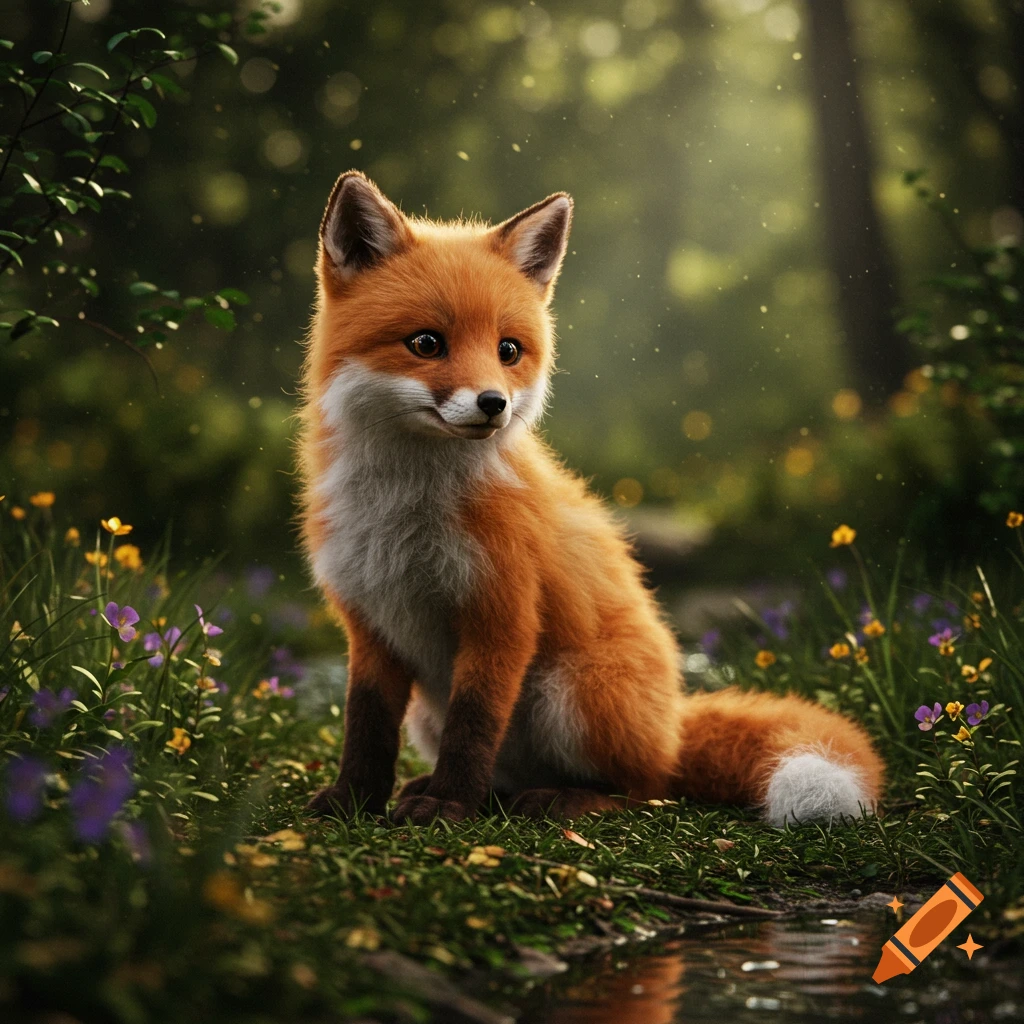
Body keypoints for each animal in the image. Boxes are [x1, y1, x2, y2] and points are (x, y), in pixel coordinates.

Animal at [298, 170, 884, 827]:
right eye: (426, 343)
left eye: (508, 350)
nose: (494, 404)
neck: (404, 511)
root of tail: (673, 724)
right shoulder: (369, 623)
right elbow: (366, 728)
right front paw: (354, 801)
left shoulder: (503, 618)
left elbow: (473, 728)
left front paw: (449, 804)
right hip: (437, 714)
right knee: (519, 777)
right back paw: (477, 793)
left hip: (571, 692)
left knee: (645, 788)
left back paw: (562, 798)